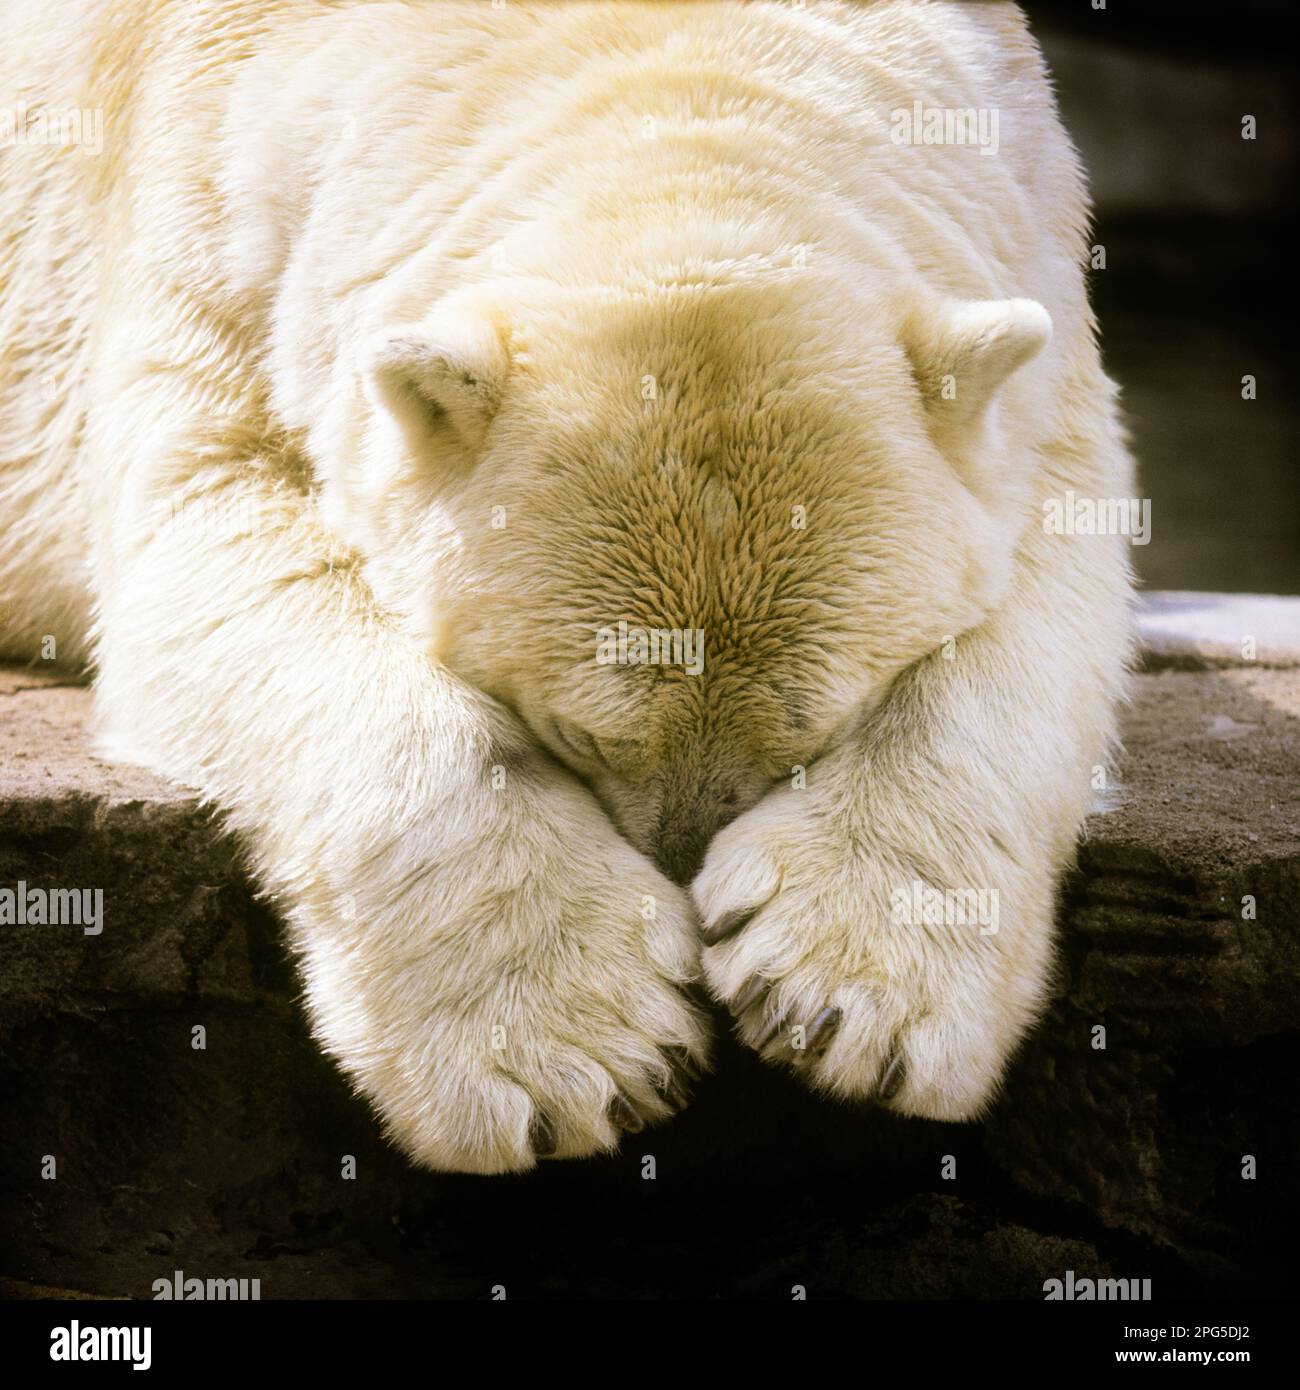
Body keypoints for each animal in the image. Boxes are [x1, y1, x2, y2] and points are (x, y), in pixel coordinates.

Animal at [0, 0, 1133, 1173]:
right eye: (579, 734)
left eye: (813, 735)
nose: (683, 873)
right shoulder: (216, 213)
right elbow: (210, 519)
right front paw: (584, 1053)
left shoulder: (1027, 230)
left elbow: (1051, 572)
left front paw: (837, 1004)